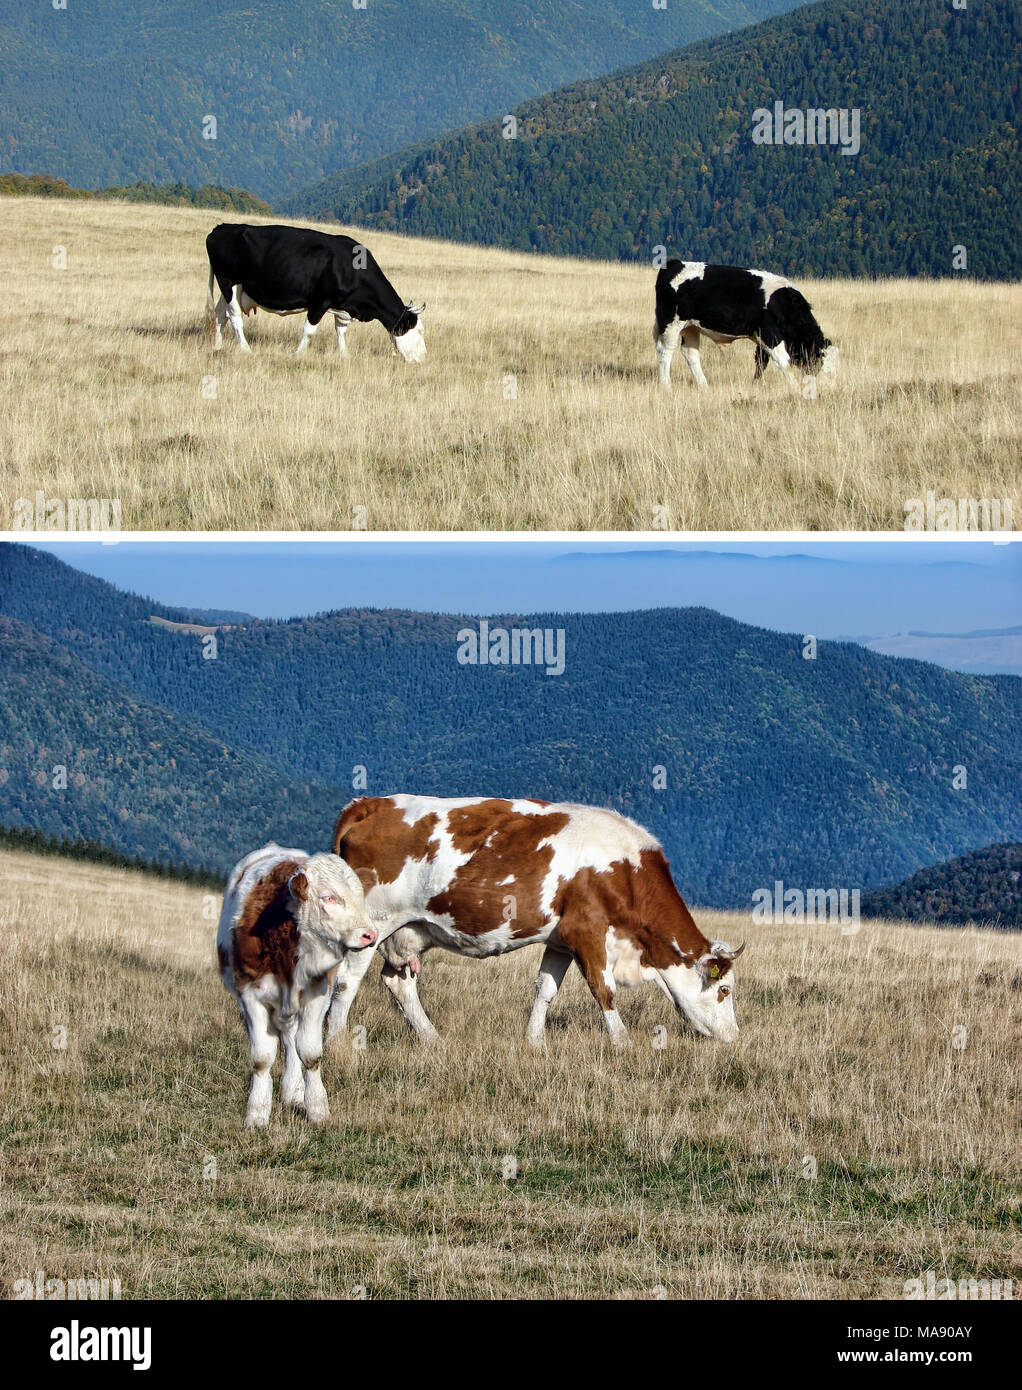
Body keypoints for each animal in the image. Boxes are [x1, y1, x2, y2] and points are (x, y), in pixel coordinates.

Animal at [205, 223, 426, 362]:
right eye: (419, 331)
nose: (424, 358)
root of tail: (220, 228)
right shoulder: (320, 300)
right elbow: (309, 330)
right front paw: (298, 354)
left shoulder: (342, 304)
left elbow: (341, 329)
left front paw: (344, 354)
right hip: (228, 281)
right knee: (234, 317)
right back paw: (245, 349)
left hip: (235, 288)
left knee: (220, 315)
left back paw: (217, 346)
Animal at [216, 843, 381, 1127]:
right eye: (329, 898)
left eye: (360, 898)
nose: (370, 935)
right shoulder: (250, 996)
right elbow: (262, 1058)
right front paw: (257, 1113)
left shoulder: (317, 995)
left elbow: (310, 1053)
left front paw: (317, 1108)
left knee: (292, 1042)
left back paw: (293, 1093)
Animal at [326, 795, 744, 1049]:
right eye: (724, 990)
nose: (734, 1036)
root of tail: (370, 803)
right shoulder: (587, 932)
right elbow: (604, 990)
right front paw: (623, 1043)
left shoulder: (560, 940)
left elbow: (545, 989)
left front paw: (535, 1042)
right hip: (372, 924)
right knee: (347, 982)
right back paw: (337, 1041)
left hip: (409, 929)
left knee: (398, 982)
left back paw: (433, 1040)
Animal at [654, 259, 837, 389]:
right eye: (821, 362)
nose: (830, 388)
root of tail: (675, 263)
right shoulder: (769, 334)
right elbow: (783, 361)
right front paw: (794, 387)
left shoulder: (761, 338)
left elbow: (761, 362)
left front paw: (756, 384)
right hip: (671, 323)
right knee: (665, 351)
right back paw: (666, 385)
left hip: (691, 327)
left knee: (690, 353)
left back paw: (703, 386)